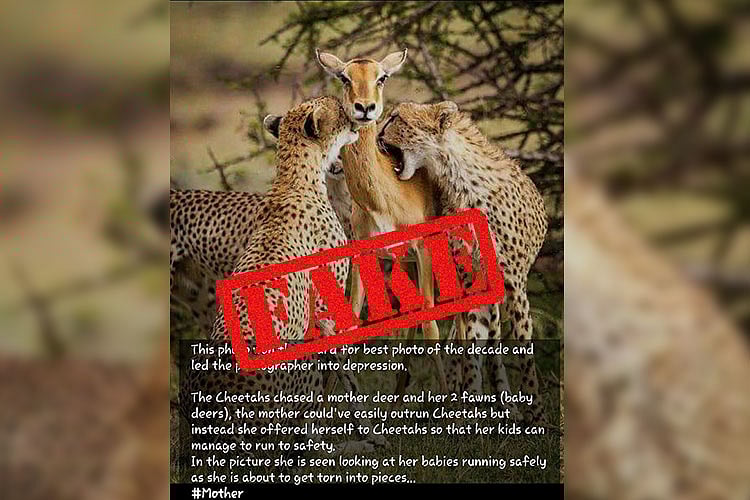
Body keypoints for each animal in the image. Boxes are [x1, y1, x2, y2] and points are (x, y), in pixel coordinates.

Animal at [316, 48, 448, 393]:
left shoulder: (422, 249)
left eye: (382, 77)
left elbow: (431, 326)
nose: (365, 108)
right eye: (344, 77)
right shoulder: (366, 254)